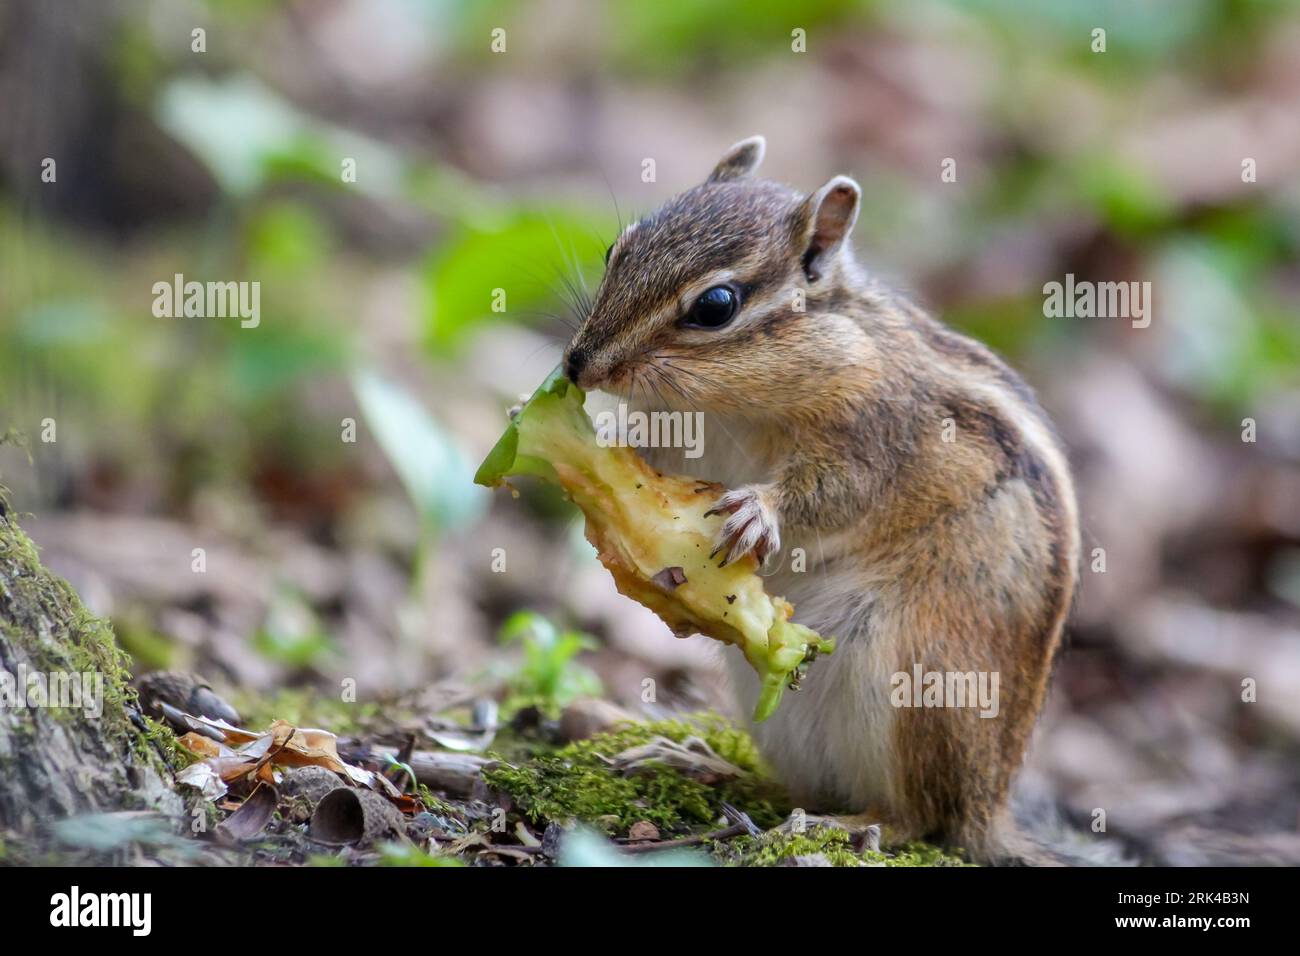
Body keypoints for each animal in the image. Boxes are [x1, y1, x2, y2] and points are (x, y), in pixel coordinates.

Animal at [562, 136, 1080, 865]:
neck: (728, 405)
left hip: (915, 676)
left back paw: (847, 825)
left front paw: (759, 510)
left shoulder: (876, 433)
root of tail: (989, 808)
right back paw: (698, 762)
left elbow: (837, 493)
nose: (577, 365)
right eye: (617, 248)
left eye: (715, 305)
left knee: (919, 816)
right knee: (800, 785)